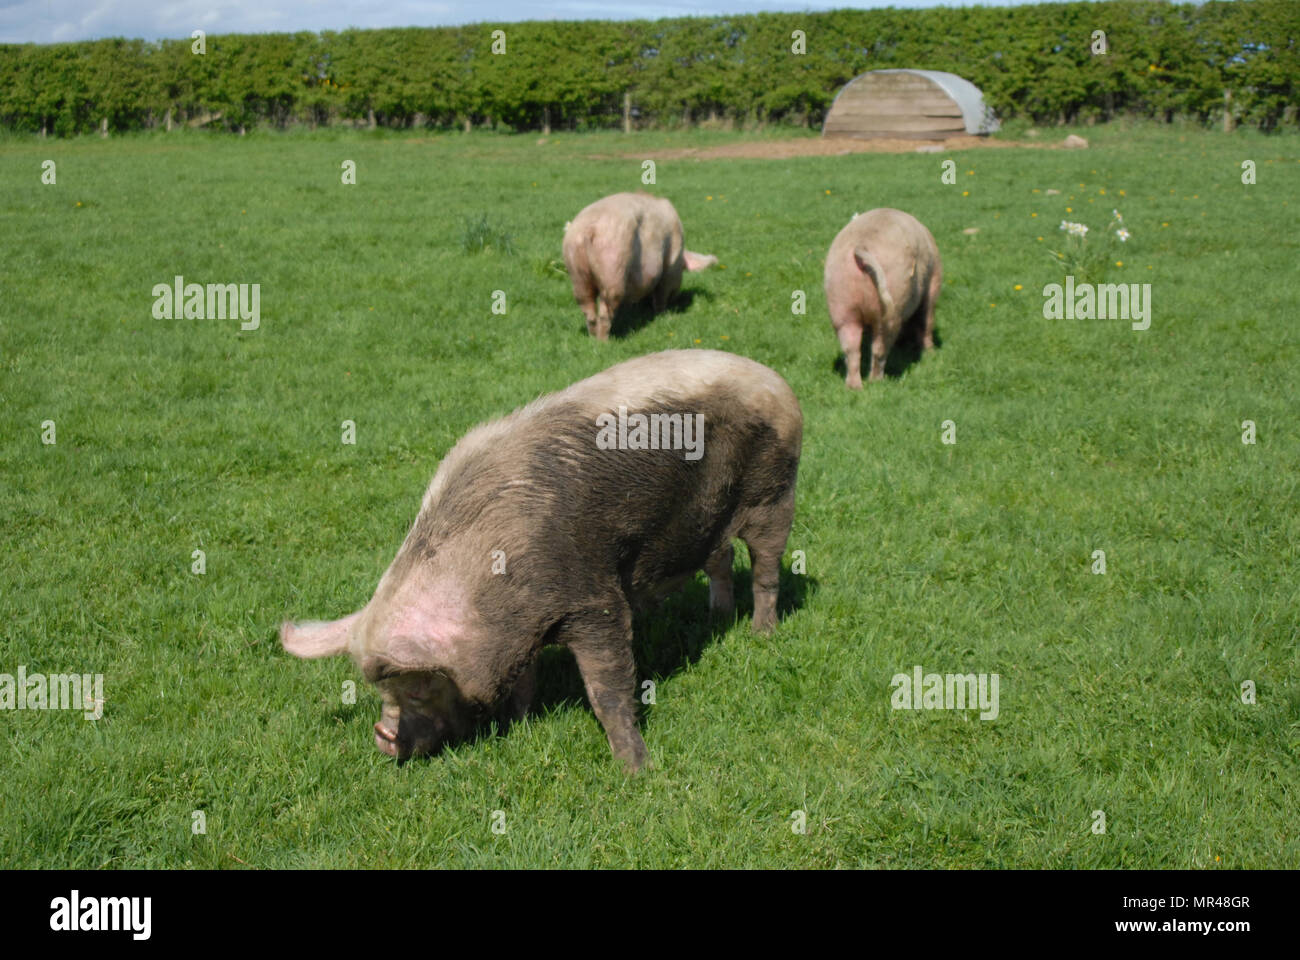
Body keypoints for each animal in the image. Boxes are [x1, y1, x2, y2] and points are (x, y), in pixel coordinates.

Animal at [281, 349, 801, 773]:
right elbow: (524, 681)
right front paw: (522, 723)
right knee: (720, 557)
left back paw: (763, 633)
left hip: (776, 493)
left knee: (766, 566)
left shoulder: (594, 599)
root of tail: (774, 378)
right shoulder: (524, 625)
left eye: (418, 688)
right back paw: (718, 617)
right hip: (711, 522)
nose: (383, 740)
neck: (488, 586)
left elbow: (608, 687)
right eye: (383, 692)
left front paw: (636, 770)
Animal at [562, 192, 717, 339]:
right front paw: (663, 315)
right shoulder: (670, 264)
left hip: (576, 270)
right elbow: (661, 294)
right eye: (683, 269)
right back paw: (604, 341)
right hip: (613, 263)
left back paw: (593, 339)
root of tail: (590, 228)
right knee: (605, 312)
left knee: (588, 309)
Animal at [824, 208, 943, 389]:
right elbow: (926, 322)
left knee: (851, 348)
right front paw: (931, 354)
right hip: (891, 305)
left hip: (840, 303)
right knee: (879, 348)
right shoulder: (933, 283)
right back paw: (877, 381)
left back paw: (855, 387)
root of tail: (860, 247)